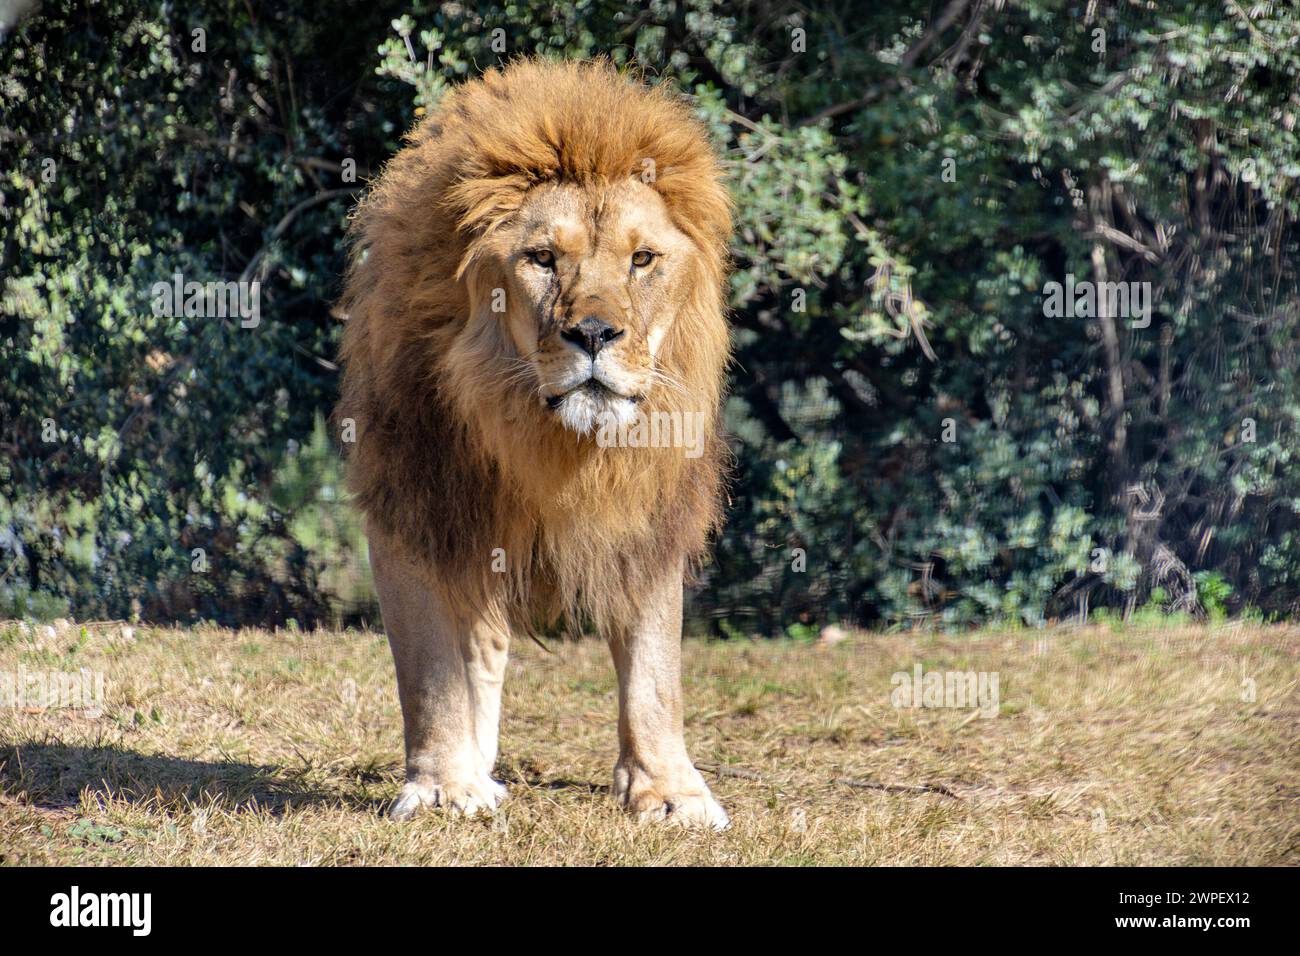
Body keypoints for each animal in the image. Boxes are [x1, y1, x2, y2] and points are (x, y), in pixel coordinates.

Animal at [335, 59, 733, 828]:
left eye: (643, 259)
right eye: (543, 259)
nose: (594, 333)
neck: (550, 436)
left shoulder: (648, 511)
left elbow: (655, 671)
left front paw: (670, 792)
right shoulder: (412, 500)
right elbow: (431, 669)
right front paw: (443, 788)